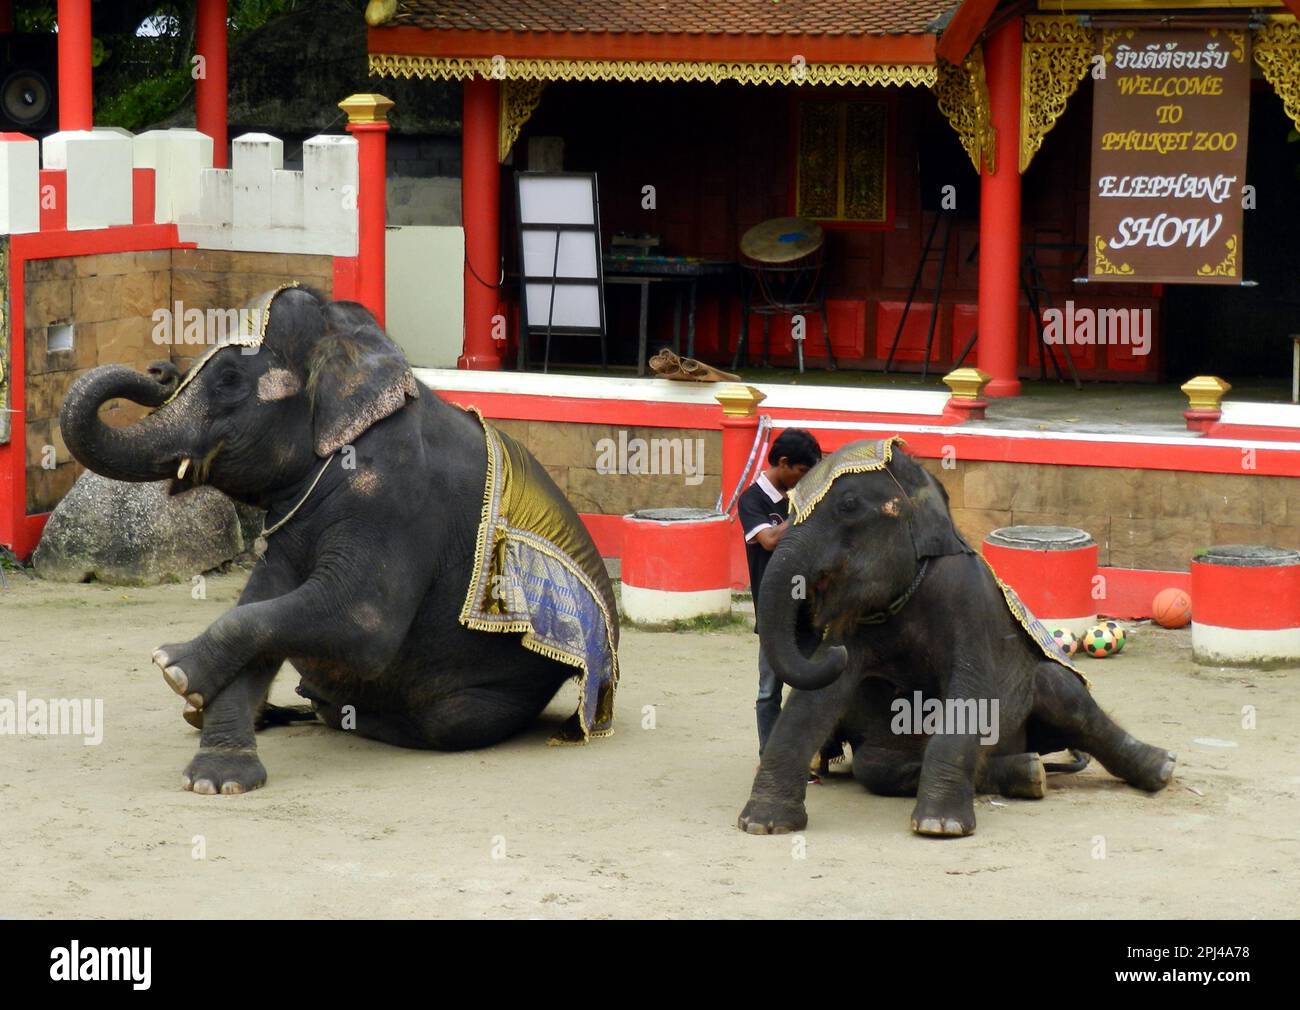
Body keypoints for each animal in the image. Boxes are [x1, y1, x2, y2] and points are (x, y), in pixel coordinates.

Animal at [60, 285, 619, 795]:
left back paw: (342, 713)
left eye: (229, 379)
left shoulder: (397, 495)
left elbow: (359, 622)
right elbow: (263, 604)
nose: (160, 370)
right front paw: (217, 774)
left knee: (450, 720)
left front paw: (174, 669)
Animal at [737, 438, 1175, 838]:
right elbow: (814, 700)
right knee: (875, 765)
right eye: (790, 511)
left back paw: (1161, 768)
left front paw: (940, 826)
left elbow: (970, 691)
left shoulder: (968, 600)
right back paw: (1029, 772)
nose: (826, 641)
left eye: (848, 506)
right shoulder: (856, 622)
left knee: (1067, 697)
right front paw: (762, 823)